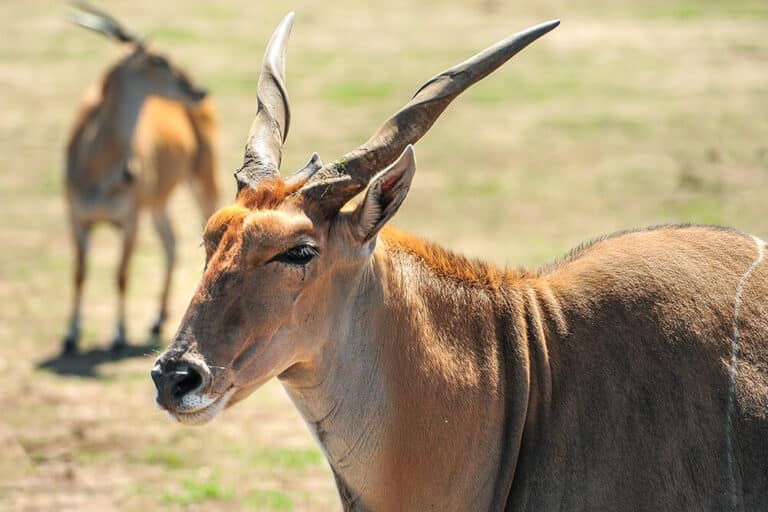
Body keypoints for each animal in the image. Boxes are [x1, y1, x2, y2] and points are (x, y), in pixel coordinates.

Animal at [62, 4, 218, 354]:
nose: (198, 90)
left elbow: (121, 274)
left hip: (202, 177)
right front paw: (71, 336)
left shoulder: (130, 220)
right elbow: (79, 273)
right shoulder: (77, 218)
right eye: (158, 60)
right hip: (158, 203)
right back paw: (158, 319)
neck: (97, 165)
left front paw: (119, 335)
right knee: (171, 242)